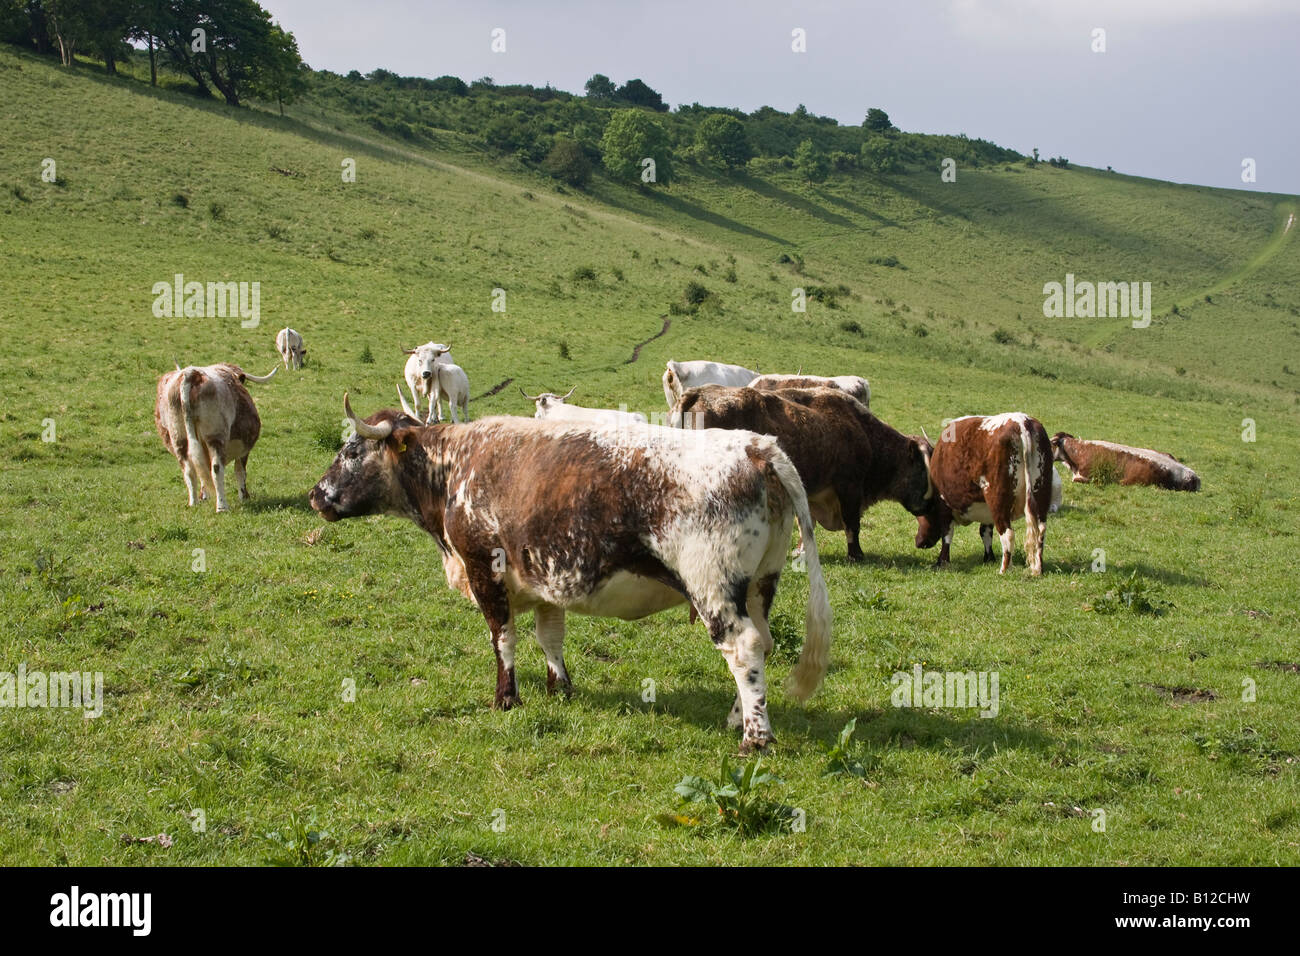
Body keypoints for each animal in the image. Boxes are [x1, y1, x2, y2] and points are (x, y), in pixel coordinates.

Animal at [154, 363, 276, 512]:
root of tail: (191, 374)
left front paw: (204, 496)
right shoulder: (243, 451)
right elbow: (240, 471)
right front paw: (244, 497)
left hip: (179, 440)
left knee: (189, 470)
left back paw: (193, 503)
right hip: (215, 438)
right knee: (217, 468)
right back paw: (222, 506)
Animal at [309, 395, 832, 752]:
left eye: (351, 450)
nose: (316, 495)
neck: (456, 467)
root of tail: (754, 445)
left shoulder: (484, 569)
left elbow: (503, 638)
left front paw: (506, 699)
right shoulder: (544, 578)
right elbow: (550, 637)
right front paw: (559, 687)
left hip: (714, 588)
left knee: (743, 648)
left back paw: (755, 737)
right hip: (760, 584)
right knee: (763, 642)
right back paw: (736, 718)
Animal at [671, 385, 933, 562]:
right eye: (924, 469)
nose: (928, 504)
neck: (862, 429)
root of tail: (696, 393)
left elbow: (806, 525)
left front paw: (802, 551)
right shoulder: (849, 487)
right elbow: (852, 523)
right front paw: (856, 554)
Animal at [913, 413, 1054, 575]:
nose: (919, 542)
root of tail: (1021, 421)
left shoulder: (944, 505)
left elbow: (947, 535)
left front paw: (942, 562)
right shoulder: (986, 511)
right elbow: (985, 531)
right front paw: (989, 558)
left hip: (997, 500)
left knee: (1008, 533)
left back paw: (1004, 570)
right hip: (1041, 495)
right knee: (1040, 532)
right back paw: (1038, 569)